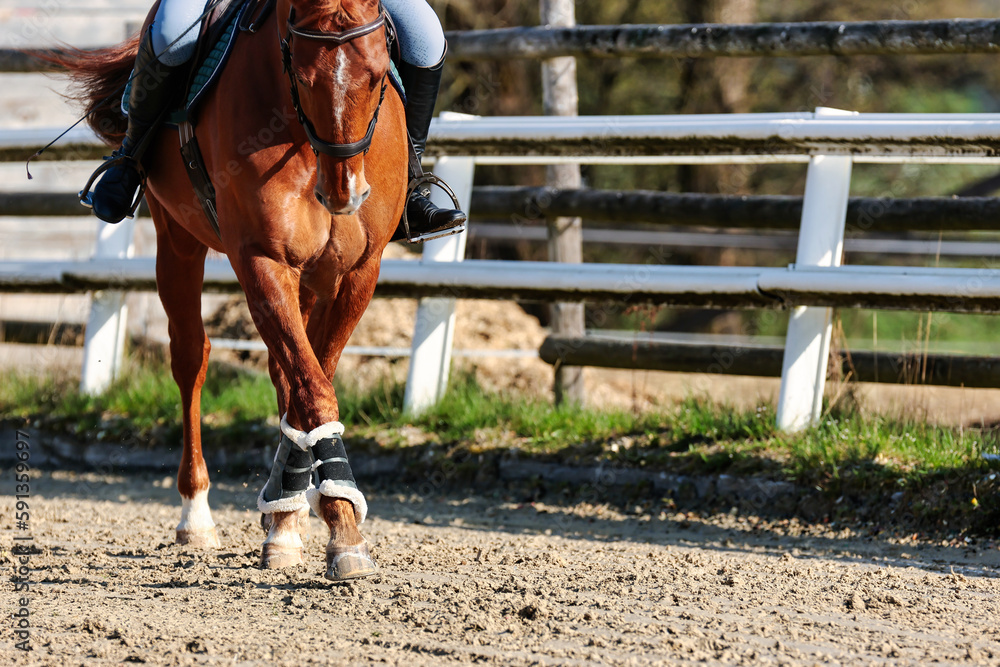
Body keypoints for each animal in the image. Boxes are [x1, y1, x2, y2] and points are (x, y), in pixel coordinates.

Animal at [58, 0, 406, 580]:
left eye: (379, 74)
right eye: (302, 77)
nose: (344, 193)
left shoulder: (357, 270)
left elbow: (310, 381)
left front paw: (299, 514)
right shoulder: (261, 261)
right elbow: (314, 390)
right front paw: (338, 531)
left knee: (282, 372)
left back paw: (285, 510)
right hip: (177, 241)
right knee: (191, 357)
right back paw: (196, 516)